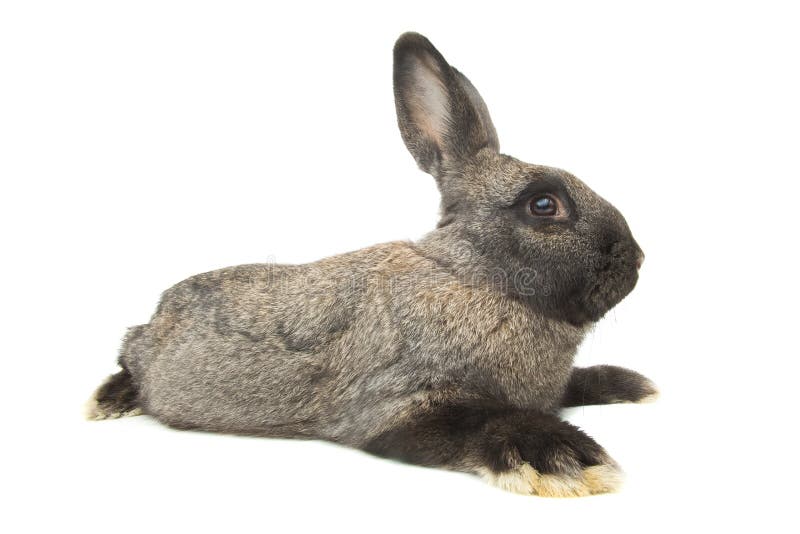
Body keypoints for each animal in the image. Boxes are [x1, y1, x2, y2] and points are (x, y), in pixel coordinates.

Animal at [87, 32, 657, 497]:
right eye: (543, 204)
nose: (636, 258)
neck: (474, 276)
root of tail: (157, 315)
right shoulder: (394, 403)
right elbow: (482, 424)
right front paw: (569, 463)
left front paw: (632, 387)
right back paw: (112, 399)